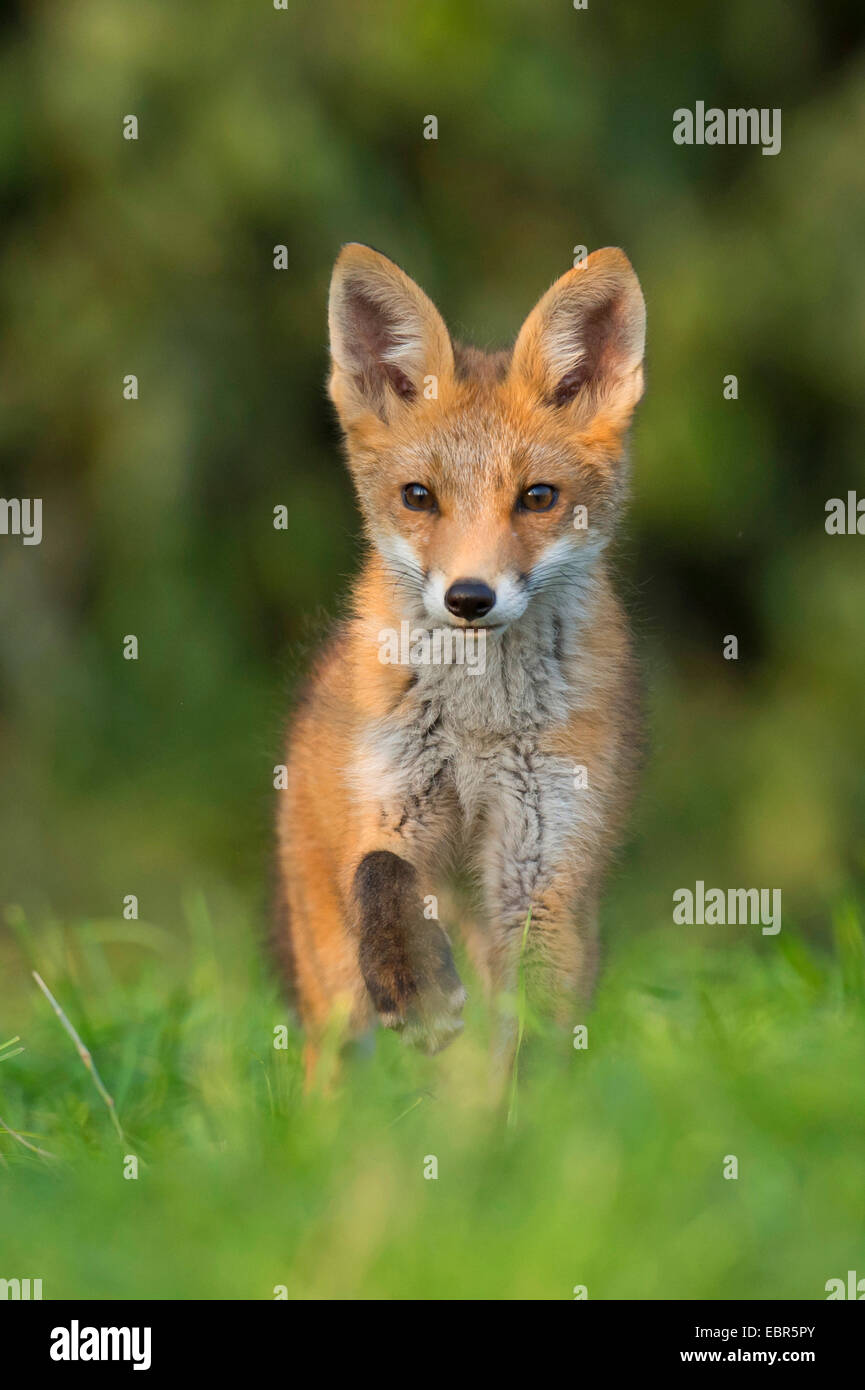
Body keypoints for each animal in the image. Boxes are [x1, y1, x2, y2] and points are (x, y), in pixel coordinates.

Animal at [274, 243, 646, 1079]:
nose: (469, 598)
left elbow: (534, 1037)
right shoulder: (392, 807)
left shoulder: (541, 868)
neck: (478, 728)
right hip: (335, 995)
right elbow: (377, 873)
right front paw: (415, 991)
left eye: (537, 497)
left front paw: (538, 1113)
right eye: (419, 497)